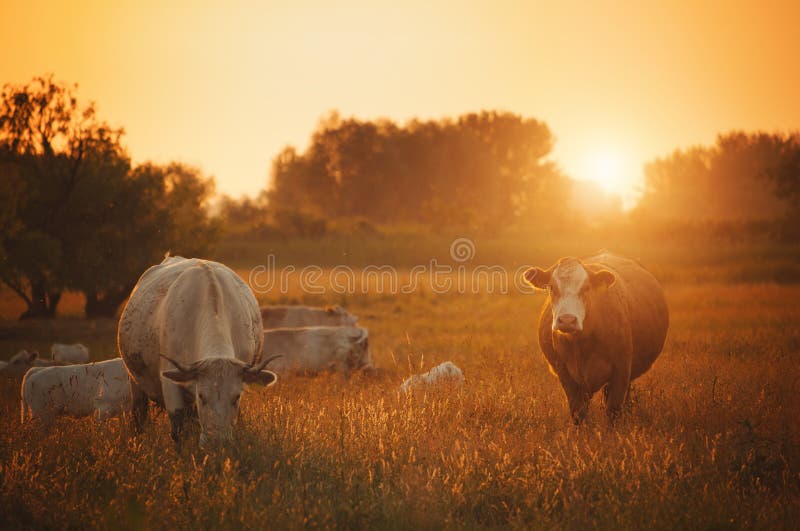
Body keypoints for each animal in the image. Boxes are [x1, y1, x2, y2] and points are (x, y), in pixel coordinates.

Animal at [118, 256, 278, 445]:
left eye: (236, 397)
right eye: (201, 396)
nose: (217, 441)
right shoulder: (170, 384)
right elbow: (177, 428)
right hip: (135, 383)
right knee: (139, 415)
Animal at [524, 251, 669, 423]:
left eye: (586, 287)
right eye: (551, 287)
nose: (567, 320)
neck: (581, 343)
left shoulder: (621, 371)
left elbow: (613, 410)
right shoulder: (566, 375)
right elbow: (578, 412)